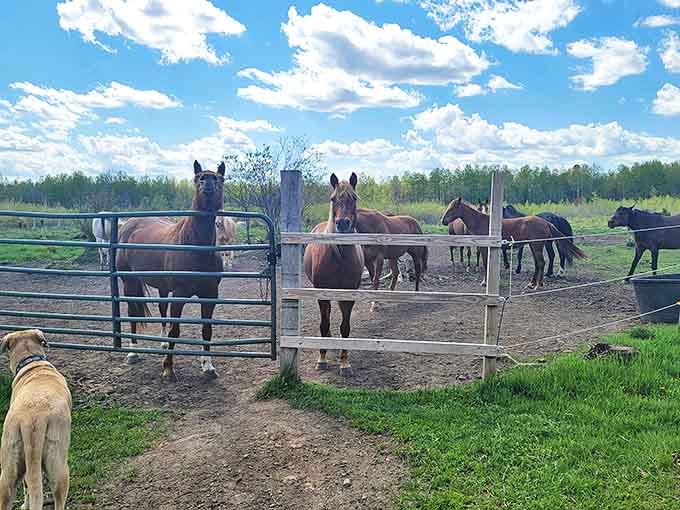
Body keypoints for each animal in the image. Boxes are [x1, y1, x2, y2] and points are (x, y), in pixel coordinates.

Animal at [116, 160, 225, 382]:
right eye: (198, 178)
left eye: (220, 179)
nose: (208, 186)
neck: (195, 249)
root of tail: (129, 224)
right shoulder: (180, 296)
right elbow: (175, 330)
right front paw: (168, 368)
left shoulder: (210, 296)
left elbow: (206, 330)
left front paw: (208, 367)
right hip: (129, 282)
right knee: (132, 312)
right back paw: (132, 352)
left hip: (163, 287)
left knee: (161, 309)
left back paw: (163, 343)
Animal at [304, 173, 364, 377]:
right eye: (332, 199)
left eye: (354, 198)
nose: (342, 223)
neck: (339, 256)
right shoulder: (322, 293)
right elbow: (324, 324)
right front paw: (321, 359)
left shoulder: (348, 295)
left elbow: (345, 327)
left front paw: (345, 363)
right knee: (327, 317)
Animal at [441, 198, 586, 289]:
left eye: (452, 208)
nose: (443, 221)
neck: (482, 222)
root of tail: (546, 222)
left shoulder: (484, 248)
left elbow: (485, 264)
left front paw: (484, 282)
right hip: (534, 246)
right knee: (538, 264)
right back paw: (532, 284)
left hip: (537, 246)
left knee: (541, 262)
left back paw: (538, 285)